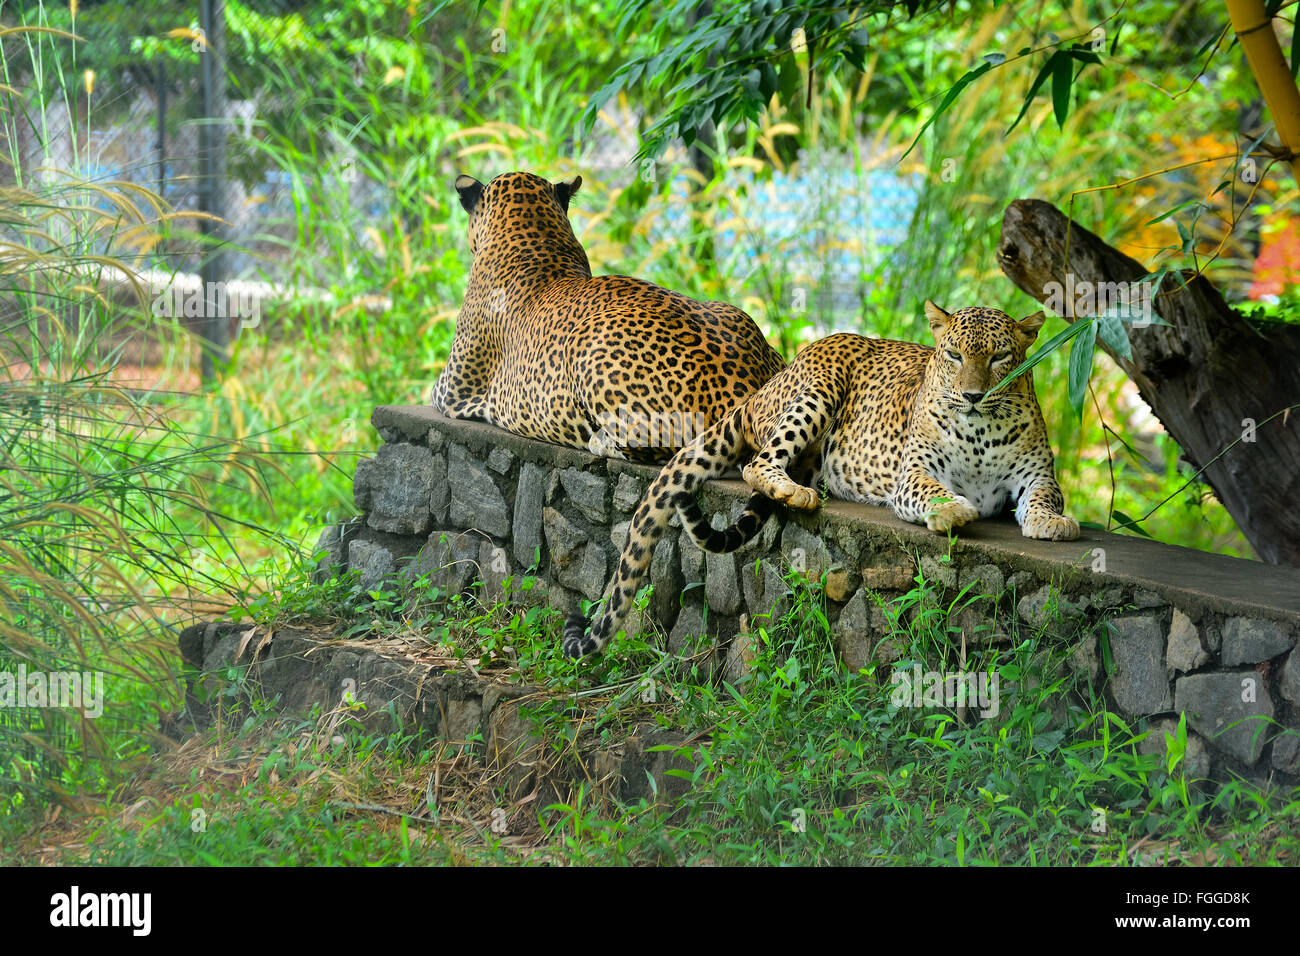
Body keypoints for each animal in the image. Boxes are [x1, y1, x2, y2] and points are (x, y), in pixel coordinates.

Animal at [563, 300, 1080, 659]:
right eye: (953, 355)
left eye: (1001, 357)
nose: (972, 396)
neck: (980, 431)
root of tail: (761, 388)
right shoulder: (913, 473)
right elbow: (932, 491)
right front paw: (953, 510)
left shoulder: (1037, 473)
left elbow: (1044, 497)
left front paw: (1053, 522)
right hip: (818, 387)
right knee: (757, 463)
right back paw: (795, 492)